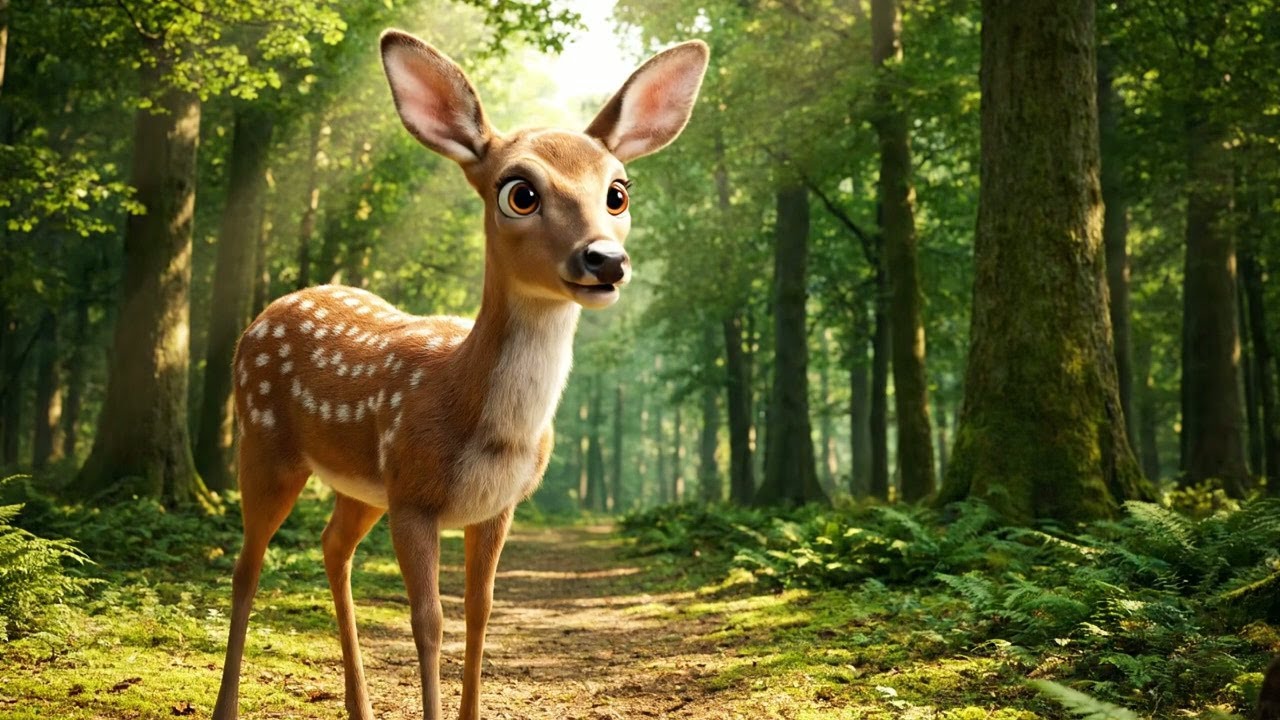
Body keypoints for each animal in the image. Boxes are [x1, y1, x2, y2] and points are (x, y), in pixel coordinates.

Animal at [211, 28, 708, 720]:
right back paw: (228, 704)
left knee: (333, 547)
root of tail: (266, 313)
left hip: (362, 486)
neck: (483, 418)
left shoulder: (495, 506)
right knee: (245, 567)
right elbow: (429, 621)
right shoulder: (415, 495)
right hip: (265, 443)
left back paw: (360, 707)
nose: (605, 259)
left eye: (618, 191)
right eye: (519, 192)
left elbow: (480, 613)